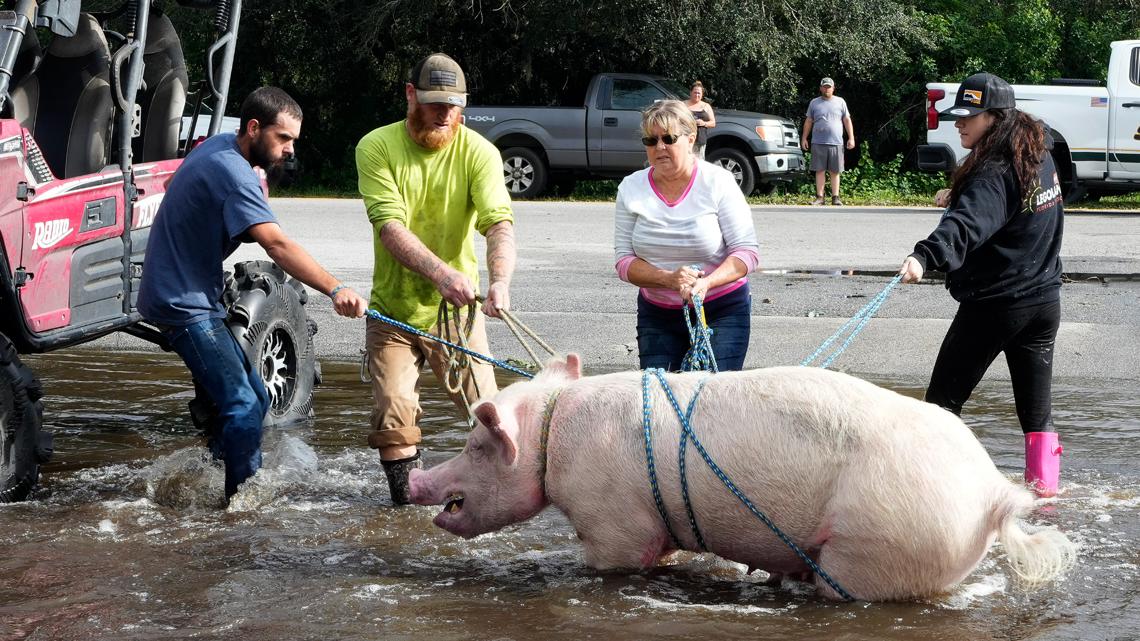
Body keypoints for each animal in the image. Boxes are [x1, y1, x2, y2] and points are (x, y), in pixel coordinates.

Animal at [409, 355, 1077, 601]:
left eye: (475, 444)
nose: (417, 482)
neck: (554, 437)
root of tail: (991, 495)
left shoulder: (614, 522)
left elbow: (617, 559)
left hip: (877, 544)